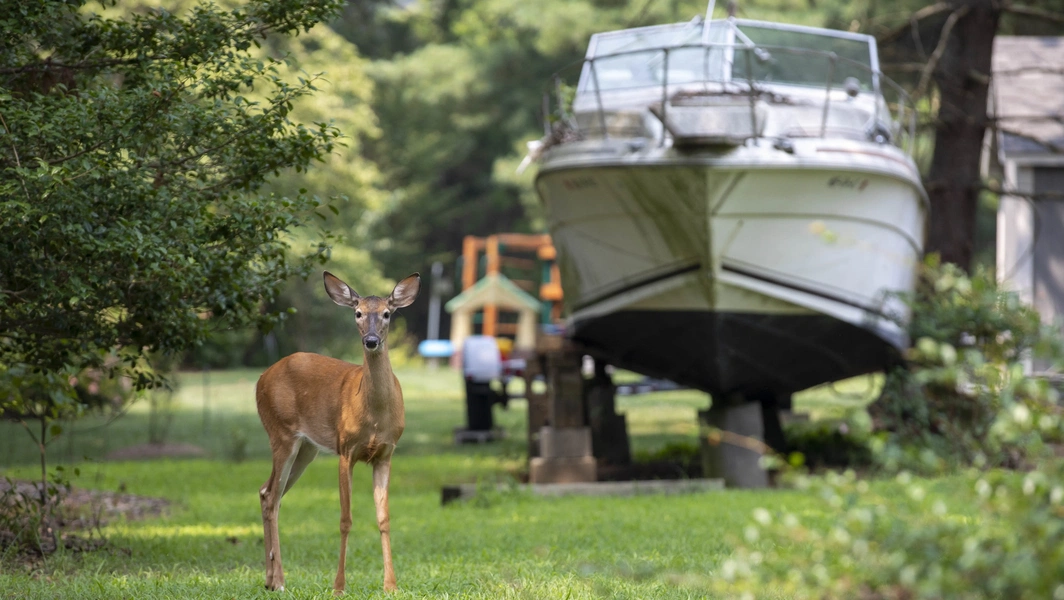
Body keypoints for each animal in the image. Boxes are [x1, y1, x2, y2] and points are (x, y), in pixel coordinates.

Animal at [255, 270, 421, 595]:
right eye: (358, 313)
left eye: (387, 313)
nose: (371, 340)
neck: (375, 417)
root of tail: (261, 378)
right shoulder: (346, 450)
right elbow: (345, 519)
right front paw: (339, 586)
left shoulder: (386, 453)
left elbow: (384, 518)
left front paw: (391, 585)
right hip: (280, 432)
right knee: (271, 496)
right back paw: (279, 581)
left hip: (307, 448)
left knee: (269, 494)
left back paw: (270, 579)